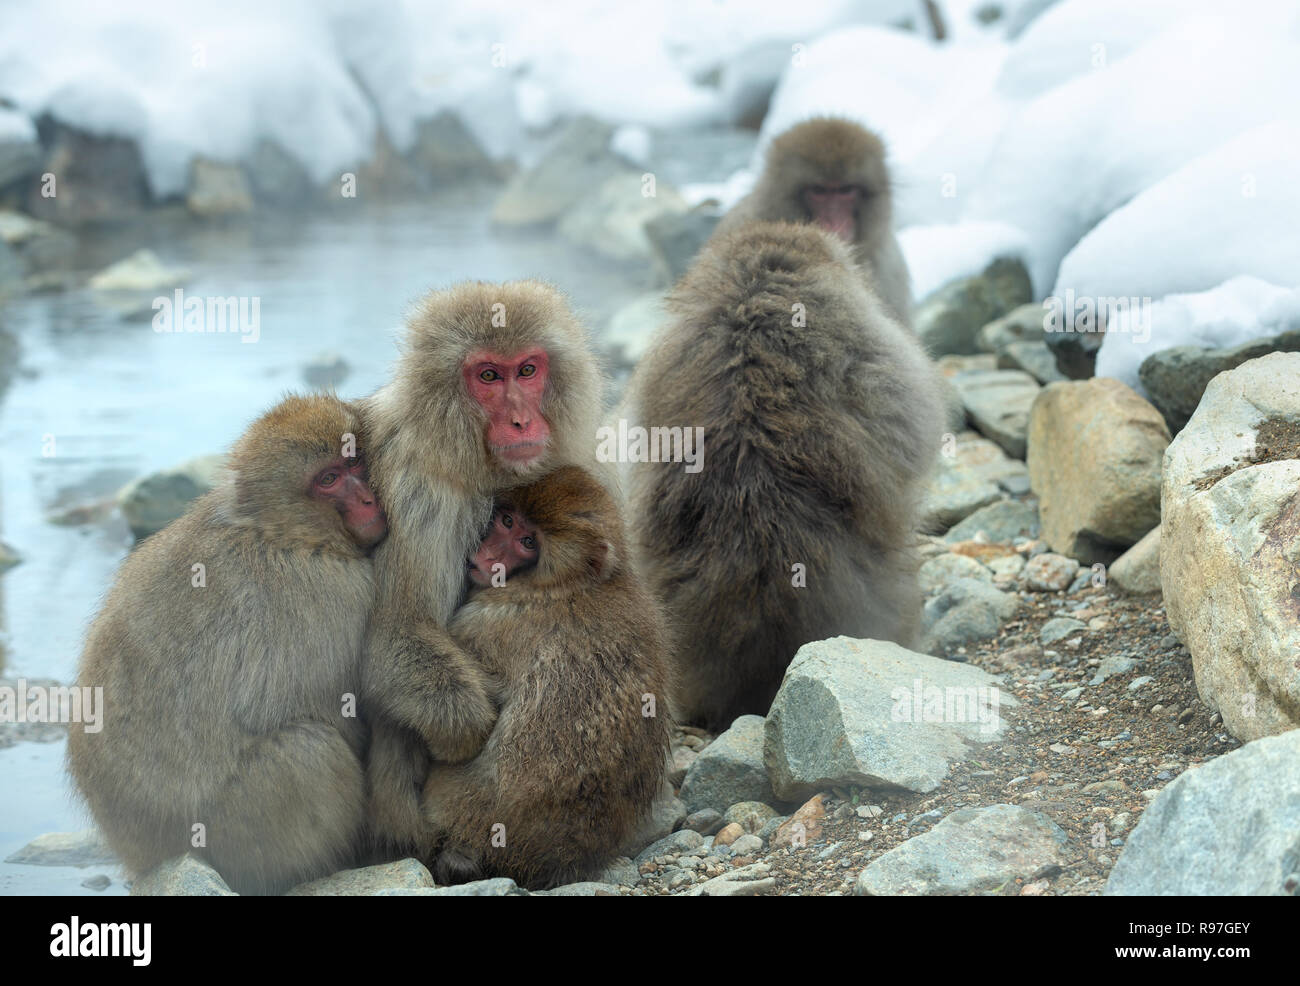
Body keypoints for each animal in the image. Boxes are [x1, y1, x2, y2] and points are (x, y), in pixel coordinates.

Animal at [66, 394, 387, 895]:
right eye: (328, 479)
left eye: (353, 461)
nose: (368, 499)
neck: (276, 530)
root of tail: (139, 852)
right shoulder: (337, 593)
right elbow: (330, 710)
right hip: (232, 831)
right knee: (308, 751)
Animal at [357, 280, 604, 857]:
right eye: (488, 376)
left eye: (527, 370)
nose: (520, 421)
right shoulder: (419, 490)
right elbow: (397, 636)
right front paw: (470, 731)